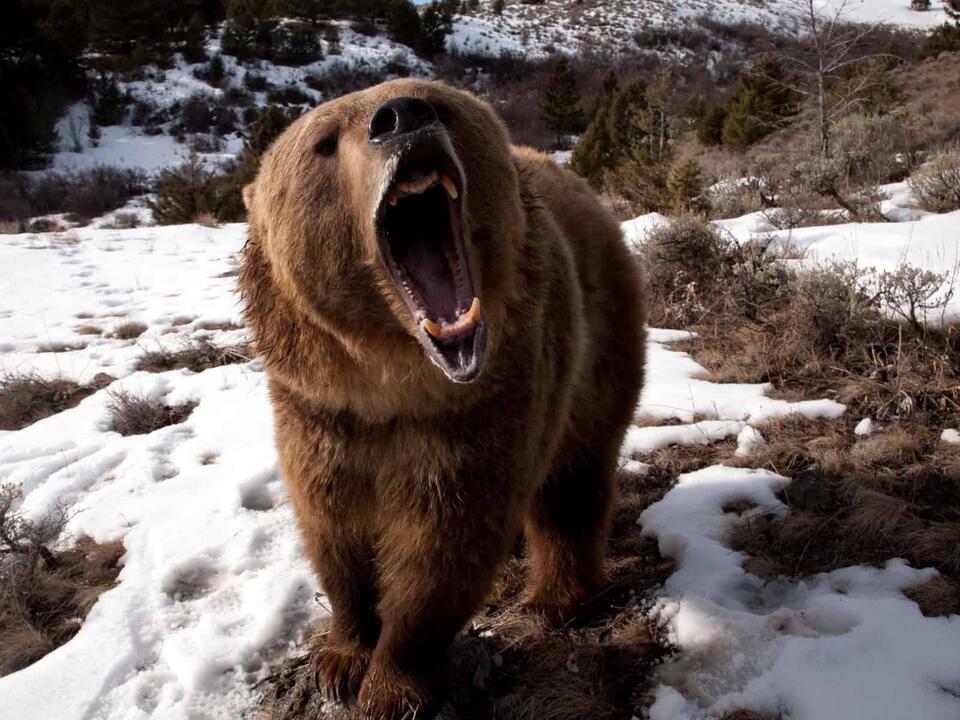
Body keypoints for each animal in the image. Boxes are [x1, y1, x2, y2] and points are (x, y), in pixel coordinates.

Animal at [239, 79, 645, 720]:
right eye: (323, 142)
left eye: (438, 102)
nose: (401, 117)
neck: (392, 382)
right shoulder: (319, 411)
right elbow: (334, 528)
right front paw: (340, 659)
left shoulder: (478, 409)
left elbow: (443, 544)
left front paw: (391, 685)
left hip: (597, 344)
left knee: (573, 479)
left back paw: (555, 599)